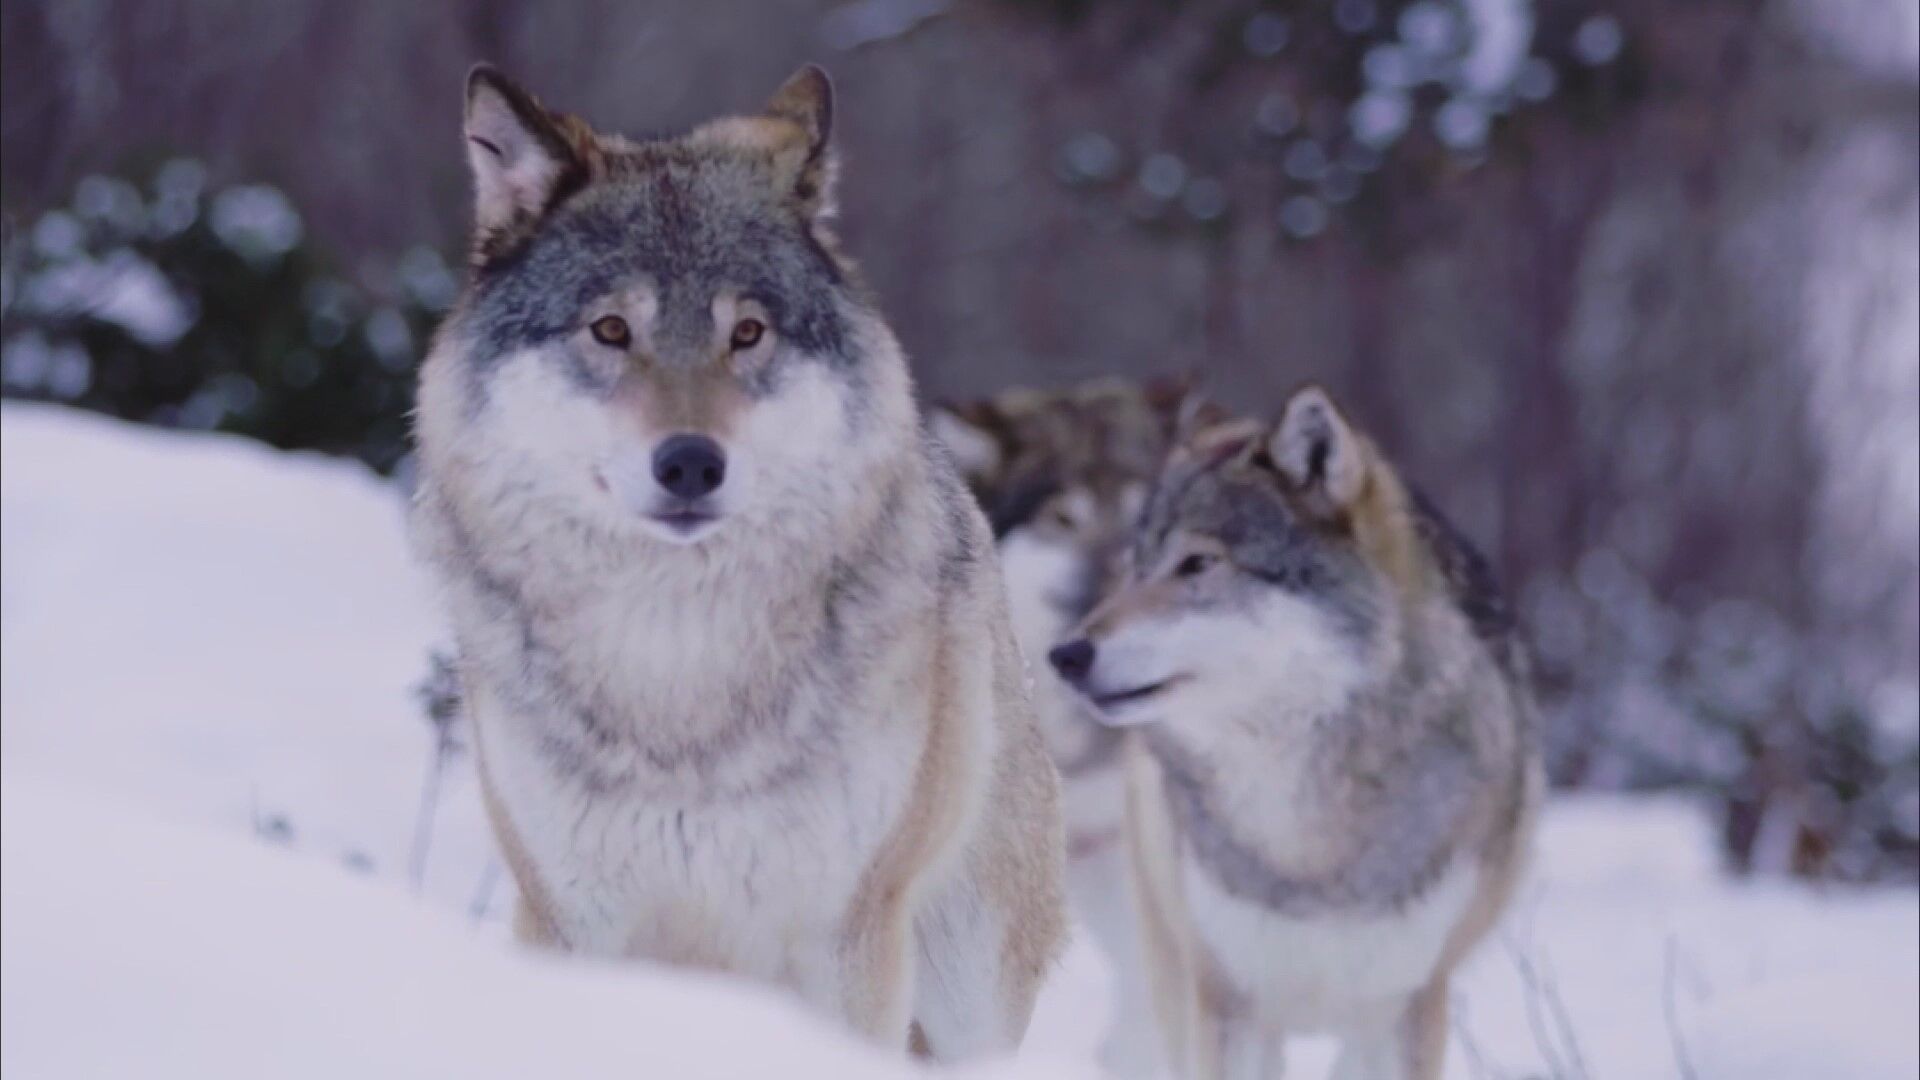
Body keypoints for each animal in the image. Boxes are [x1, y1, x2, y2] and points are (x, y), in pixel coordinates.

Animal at [409, 64, 1067, 1060]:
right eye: (611, 330)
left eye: (747, 333)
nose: (689, 463)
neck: (678, 665)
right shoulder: (568, 920)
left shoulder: (849, 939)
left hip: (965, 997)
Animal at [1048, 386, 1543, 1079]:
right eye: (1137, 569)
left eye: (1197, 563)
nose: (1065, 655)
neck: (1306, 835)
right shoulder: (1227, 1005)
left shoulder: (1406, 1007)